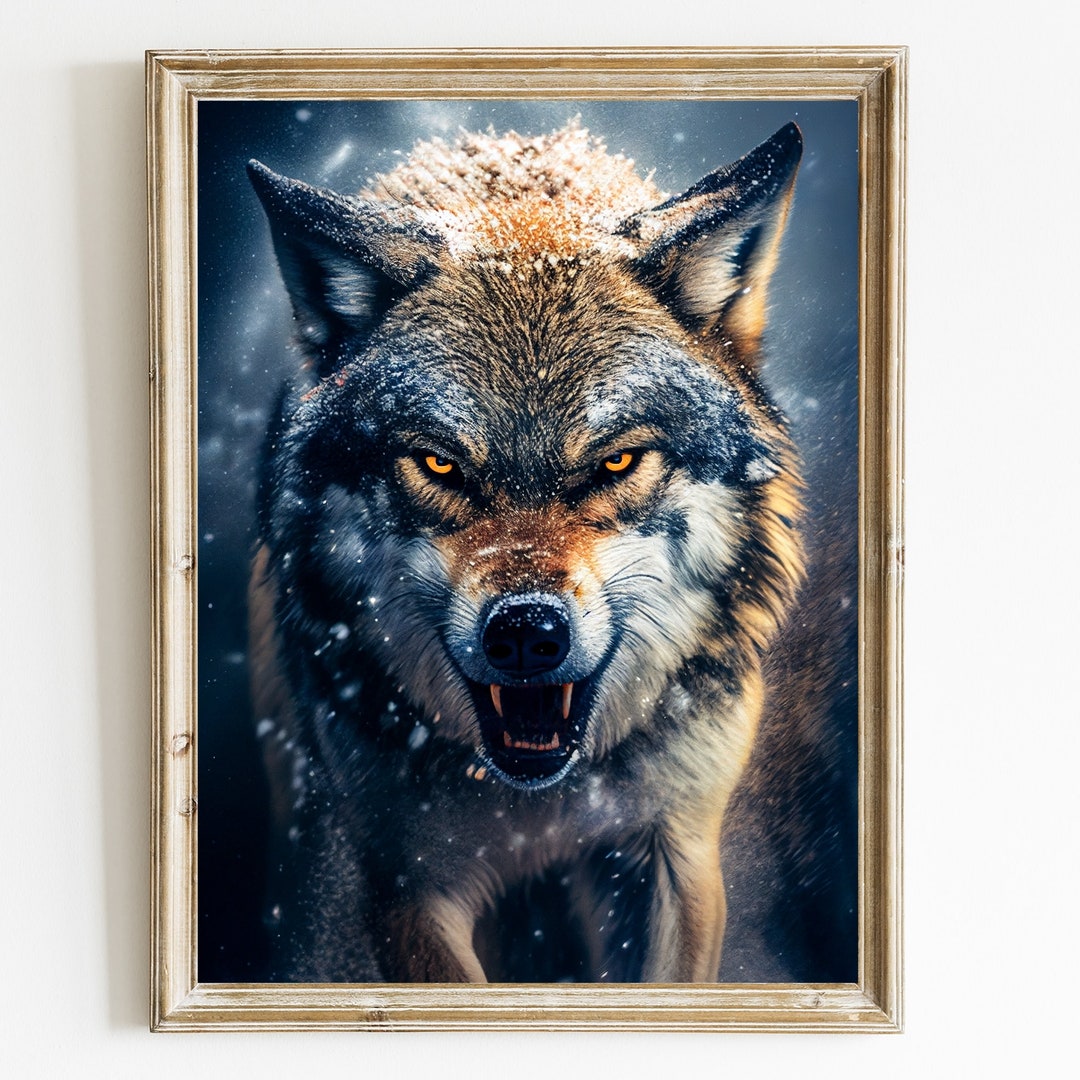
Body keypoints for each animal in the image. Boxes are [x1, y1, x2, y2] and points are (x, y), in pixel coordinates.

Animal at [246, 120, 831, 983]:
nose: (526, 632)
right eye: (439, 465)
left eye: (616, 463)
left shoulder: (675, 850)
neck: (541, 800)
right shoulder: (406, 885)